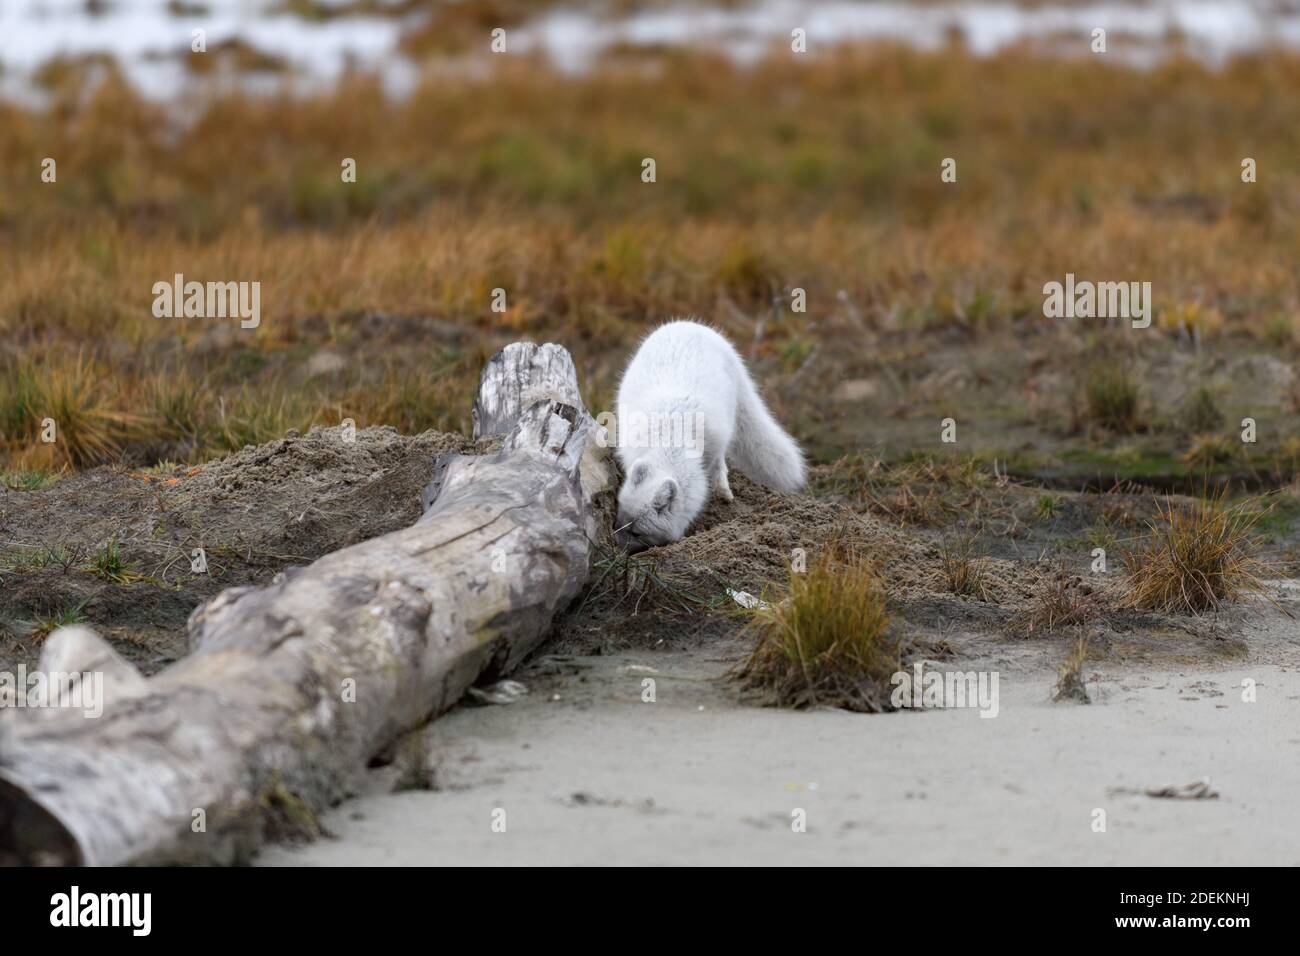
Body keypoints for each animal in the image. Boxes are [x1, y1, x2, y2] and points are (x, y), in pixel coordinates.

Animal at [613, 320, 805, 550]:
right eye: (619, 523)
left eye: (636, 533)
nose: (617, 552)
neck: (670, 438)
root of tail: (689, 323)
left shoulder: (712, 447)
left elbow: (715, 467)